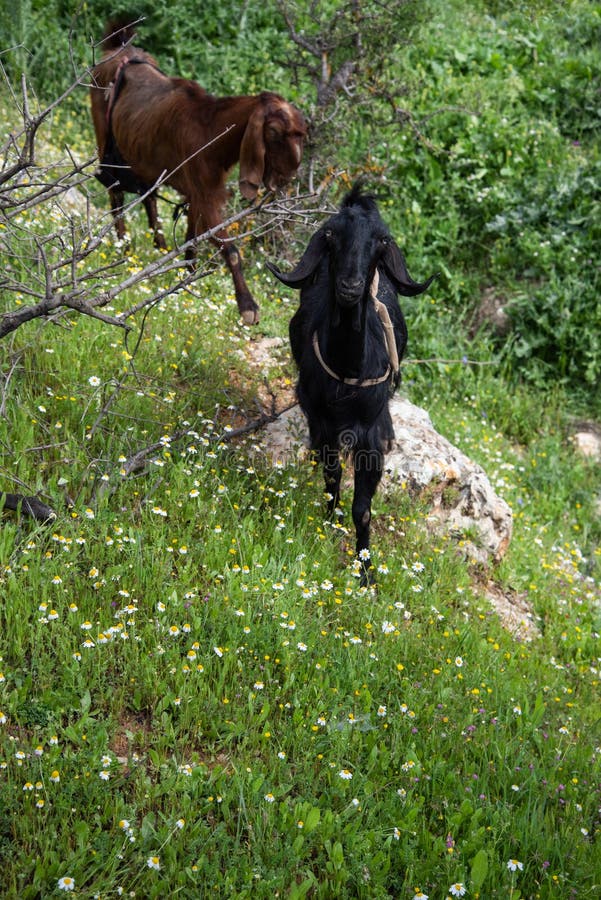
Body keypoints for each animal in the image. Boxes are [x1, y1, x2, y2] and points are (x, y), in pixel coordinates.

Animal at [90, 19, 307, 324]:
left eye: (301, 133)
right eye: (274, 132)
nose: (290, 173)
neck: (212, 130)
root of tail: (119, 49)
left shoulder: (197, 193)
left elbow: (192, 238)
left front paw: (187, 274)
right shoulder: (205, 194)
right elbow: (229, 248)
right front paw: (248, 306)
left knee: (149, 196)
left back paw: (159, 245)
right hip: (104, 137)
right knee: (116, 193)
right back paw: (124, 245)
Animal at [267, 184, 436, 582]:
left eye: (380, 241)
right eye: (331, 235)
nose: (350, 286)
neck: (348, 371)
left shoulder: (370, 433)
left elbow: (364, 508)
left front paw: (366, 571)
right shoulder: (324, 421)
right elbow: (332, 479)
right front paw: (328, 524)